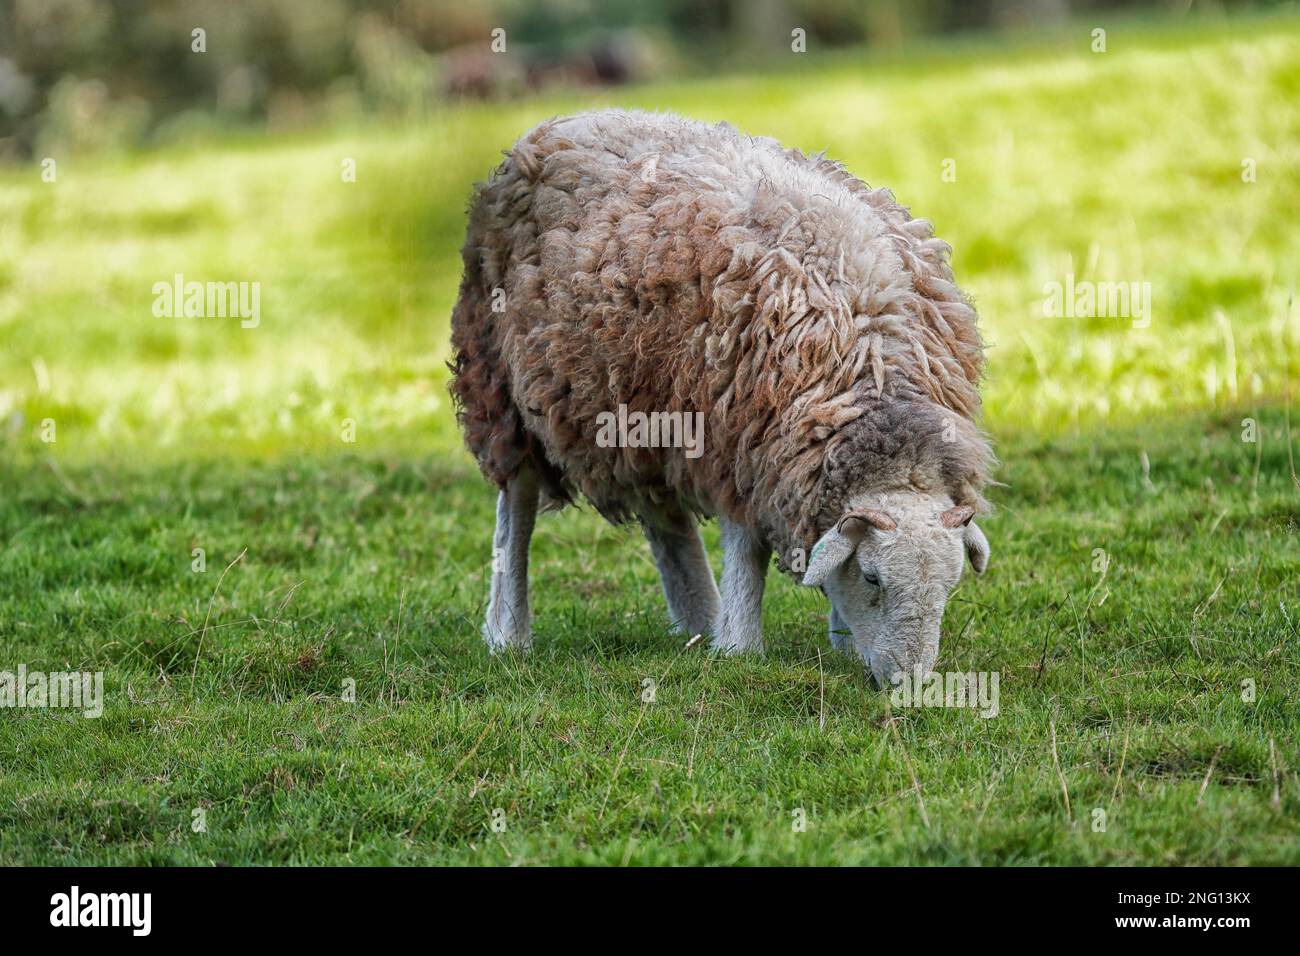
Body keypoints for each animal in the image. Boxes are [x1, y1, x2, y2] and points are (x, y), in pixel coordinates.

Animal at [449, 108, 994, 685]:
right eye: (872, 578)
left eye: (951, 586)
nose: (909, 682)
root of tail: (565, 120)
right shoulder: (738, 435)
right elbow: (746, 545)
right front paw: (740, 646)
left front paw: (836, 642)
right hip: (501, 383)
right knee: (517, 503)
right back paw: (508, 632)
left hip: (645, 404)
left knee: (664, 516)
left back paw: (697, 621)